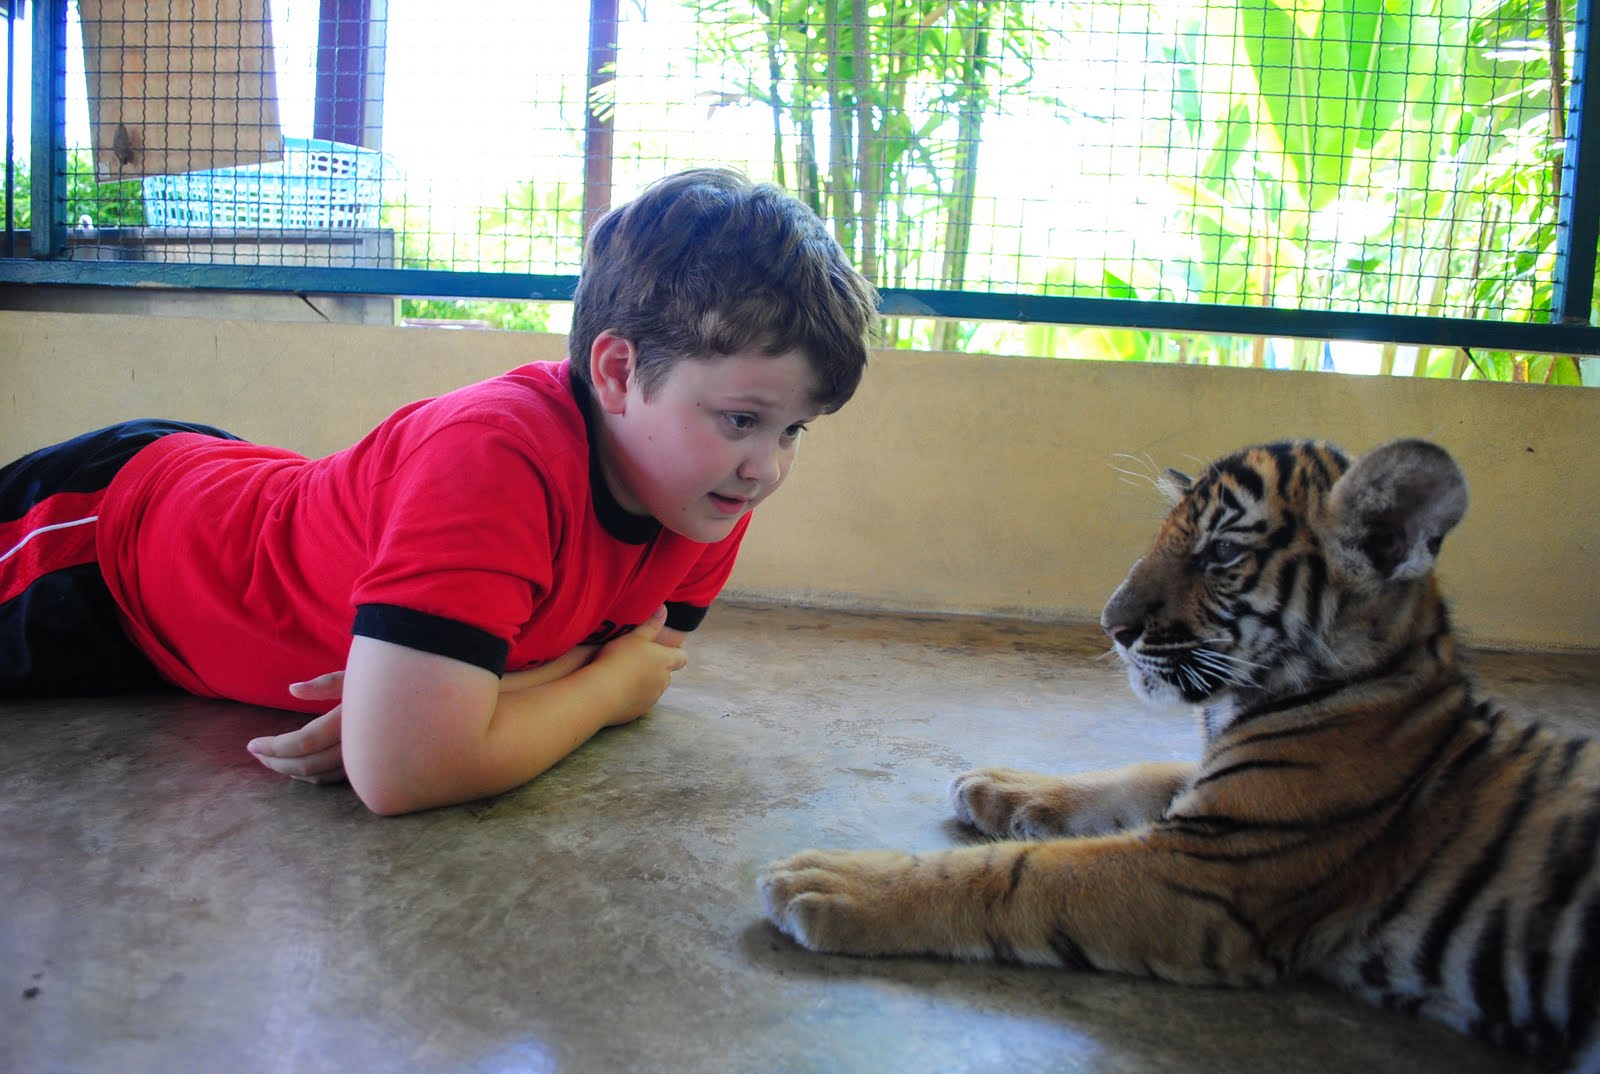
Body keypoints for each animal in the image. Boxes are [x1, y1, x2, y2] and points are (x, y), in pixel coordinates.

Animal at [760, 437, 1600, 1070]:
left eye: (1220, 553)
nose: (1111, 624)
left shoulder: (1205, 870)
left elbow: (1020, 875)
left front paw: (835, 882)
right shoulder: (1208, 793)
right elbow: (1131, 774)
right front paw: (998, 785)